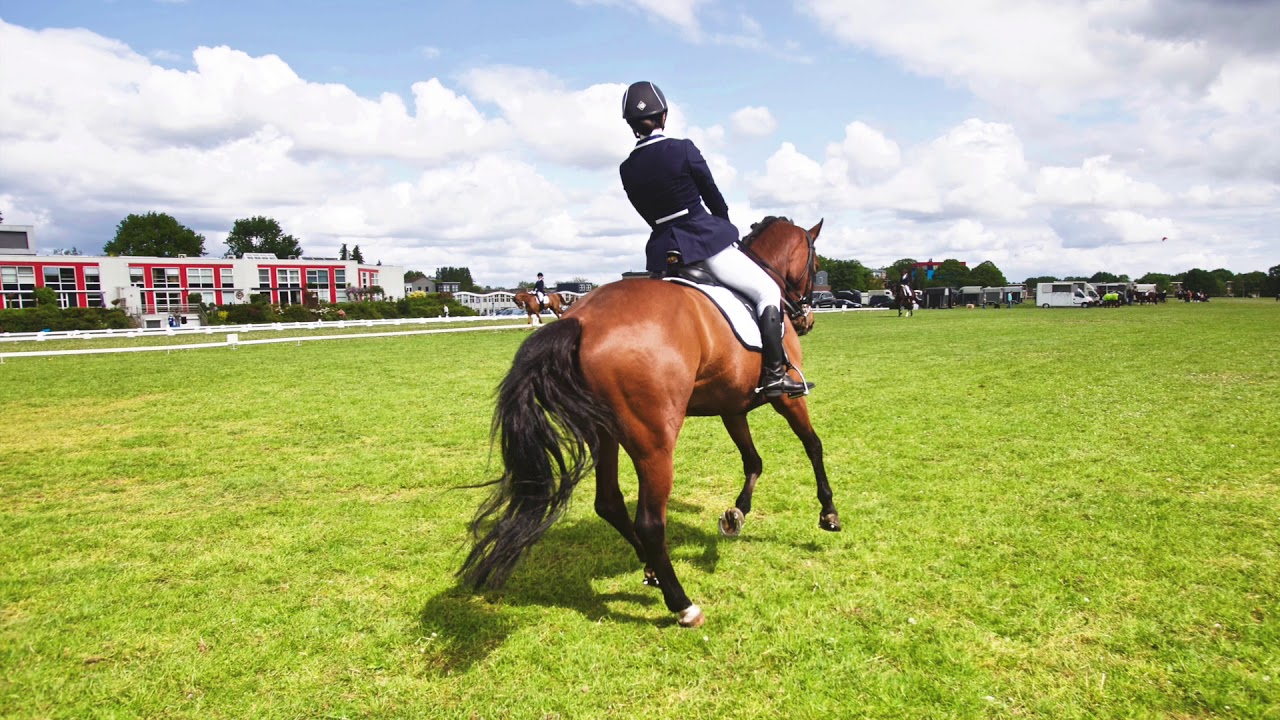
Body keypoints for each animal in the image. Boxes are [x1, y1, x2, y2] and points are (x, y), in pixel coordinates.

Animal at [461, 217, 838, 628]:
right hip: (655, 442)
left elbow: (753, 461)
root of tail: (581, 319)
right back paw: (682, 604)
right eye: (816, 264)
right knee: (650, 521)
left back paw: (653, 570)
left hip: (604, 434)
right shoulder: (787, 398)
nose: (808, 320)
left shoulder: (732, 407)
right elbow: (813, 445)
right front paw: (828, 513)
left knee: (609, 503)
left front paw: (736, 514)